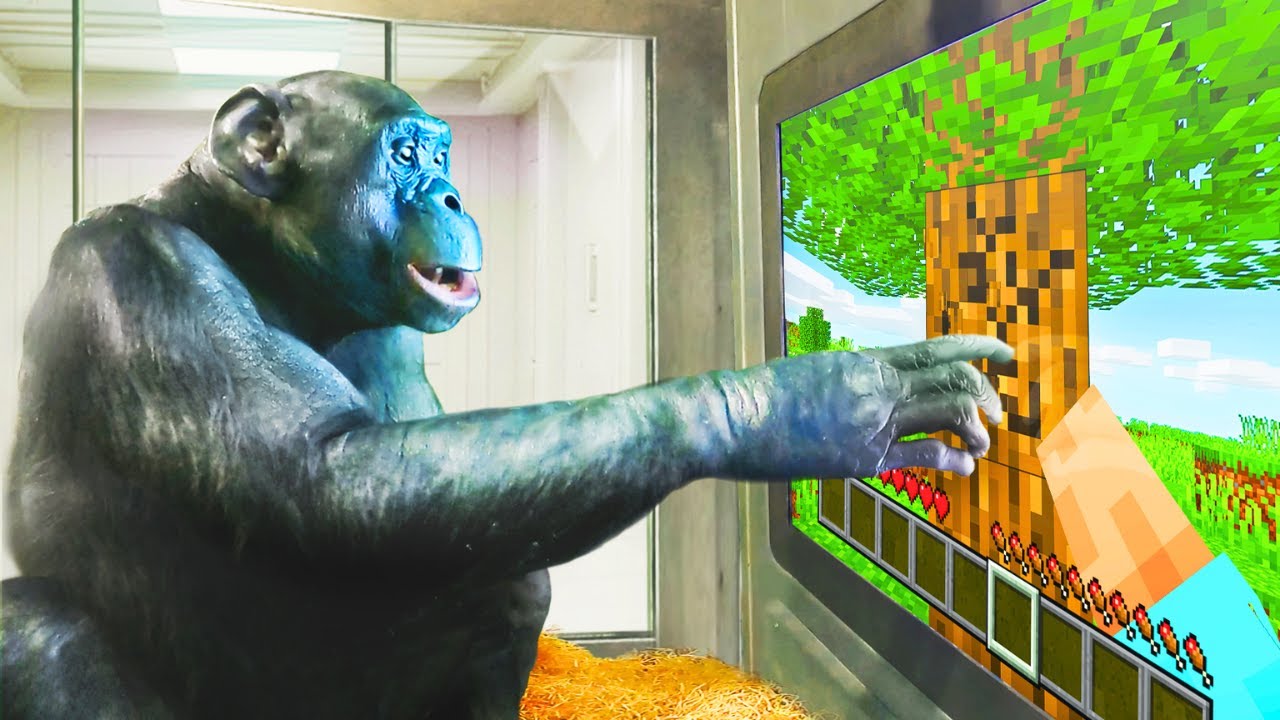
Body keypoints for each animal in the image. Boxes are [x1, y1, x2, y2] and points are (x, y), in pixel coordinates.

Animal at [2, 70, 1012, 719]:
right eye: (405, 152)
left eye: (441, 154)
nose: (452, 195)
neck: (260, 253)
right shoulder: (139, 277)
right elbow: (323, 479)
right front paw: (796, 405)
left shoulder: (396, 335)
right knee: (40, 634)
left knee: (499, 583)